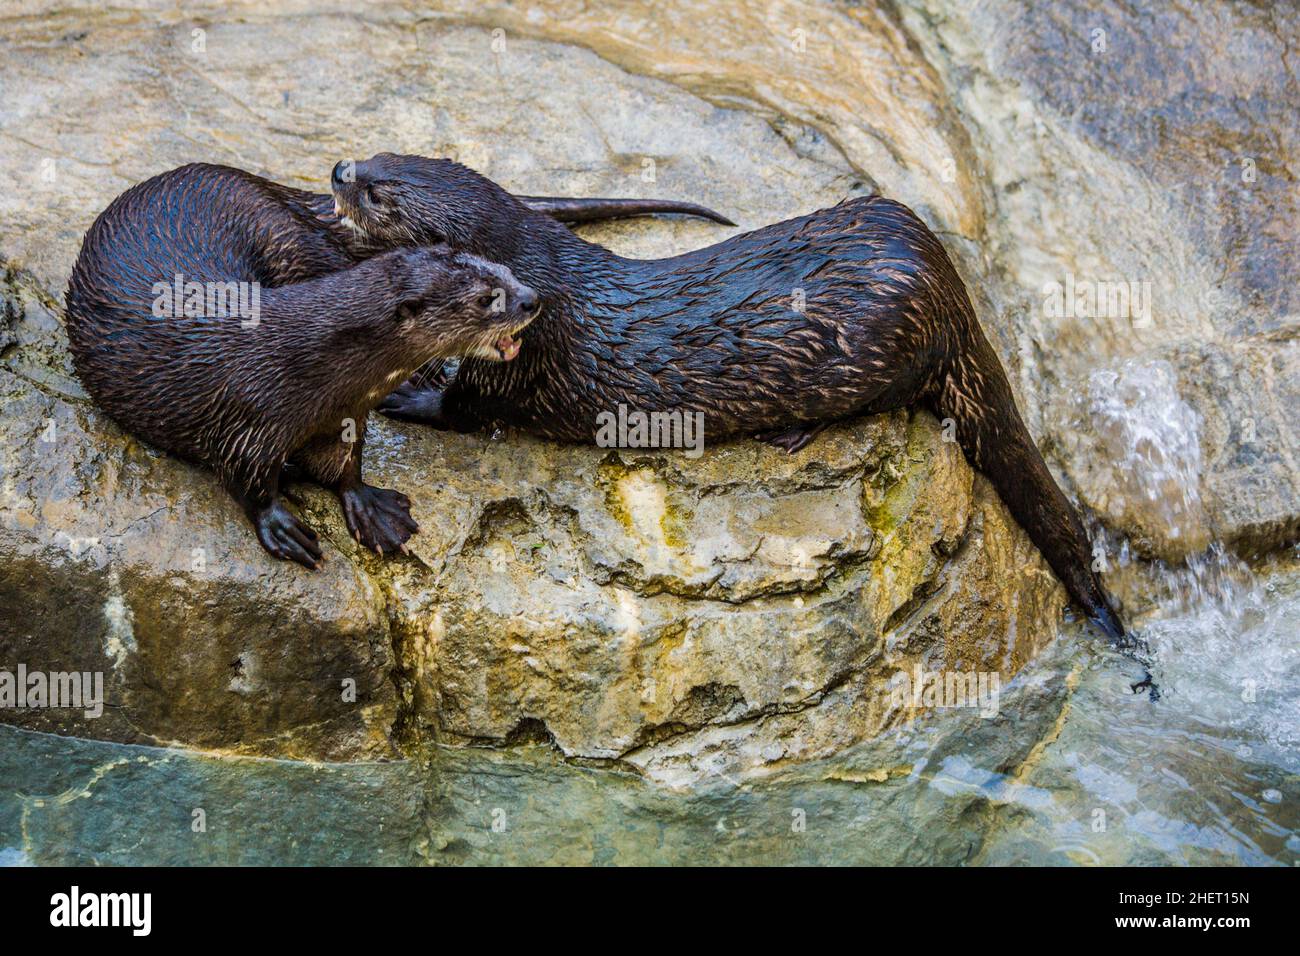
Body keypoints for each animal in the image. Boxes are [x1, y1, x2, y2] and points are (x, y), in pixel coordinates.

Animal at [65, 163, 538, 568]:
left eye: (504, 269)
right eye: (487, 298)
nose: (533, 299)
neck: (297, 358)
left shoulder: (345, 417)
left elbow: (343, 467)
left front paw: (373, 509)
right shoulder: (245, 421)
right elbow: (246, 481)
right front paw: (280, 527)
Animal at [332, 153, 1125, 640]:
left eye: (378, 195)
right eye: (379, 155)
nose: (341, 170)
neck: (536, 275)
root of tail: (948, 287)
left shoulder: (516, 360)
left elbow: (465, 408)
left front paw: (409, 393)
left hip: (882, 348)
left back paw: (795, 434)